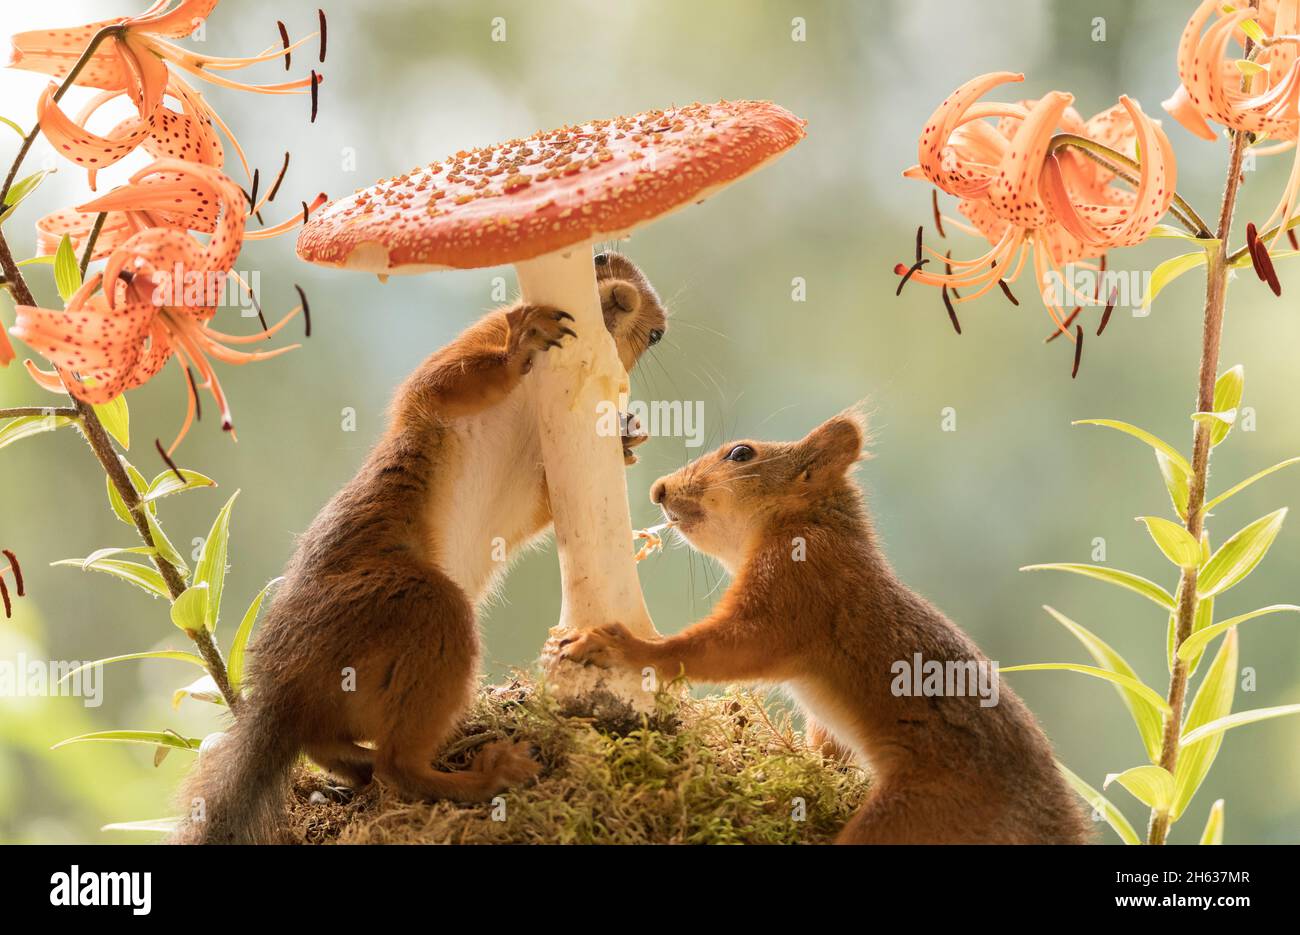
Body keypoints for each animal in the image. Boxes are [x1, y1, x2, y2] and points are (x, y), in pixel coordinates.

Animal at [173, 252, 667, 844]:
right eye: (598, 257)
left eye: (658, 335)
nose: (627, 300)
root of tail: (285, 694)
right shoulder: (449, 370)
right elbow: (445, 382)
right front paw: (523, 341)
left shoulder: (533, 483)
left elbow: (542, 502)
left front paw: (625, 439)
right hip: (417, 604)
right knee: (397, 768)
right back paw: (487, 774)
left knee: (338, 749)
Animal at [558, 409, 1093, 844]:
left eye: (741, 453)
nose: (659, 490)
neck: (808, 520)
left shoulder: (798, 581)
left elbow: (735, 645)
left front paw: (626, 647)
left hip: (924, 812)